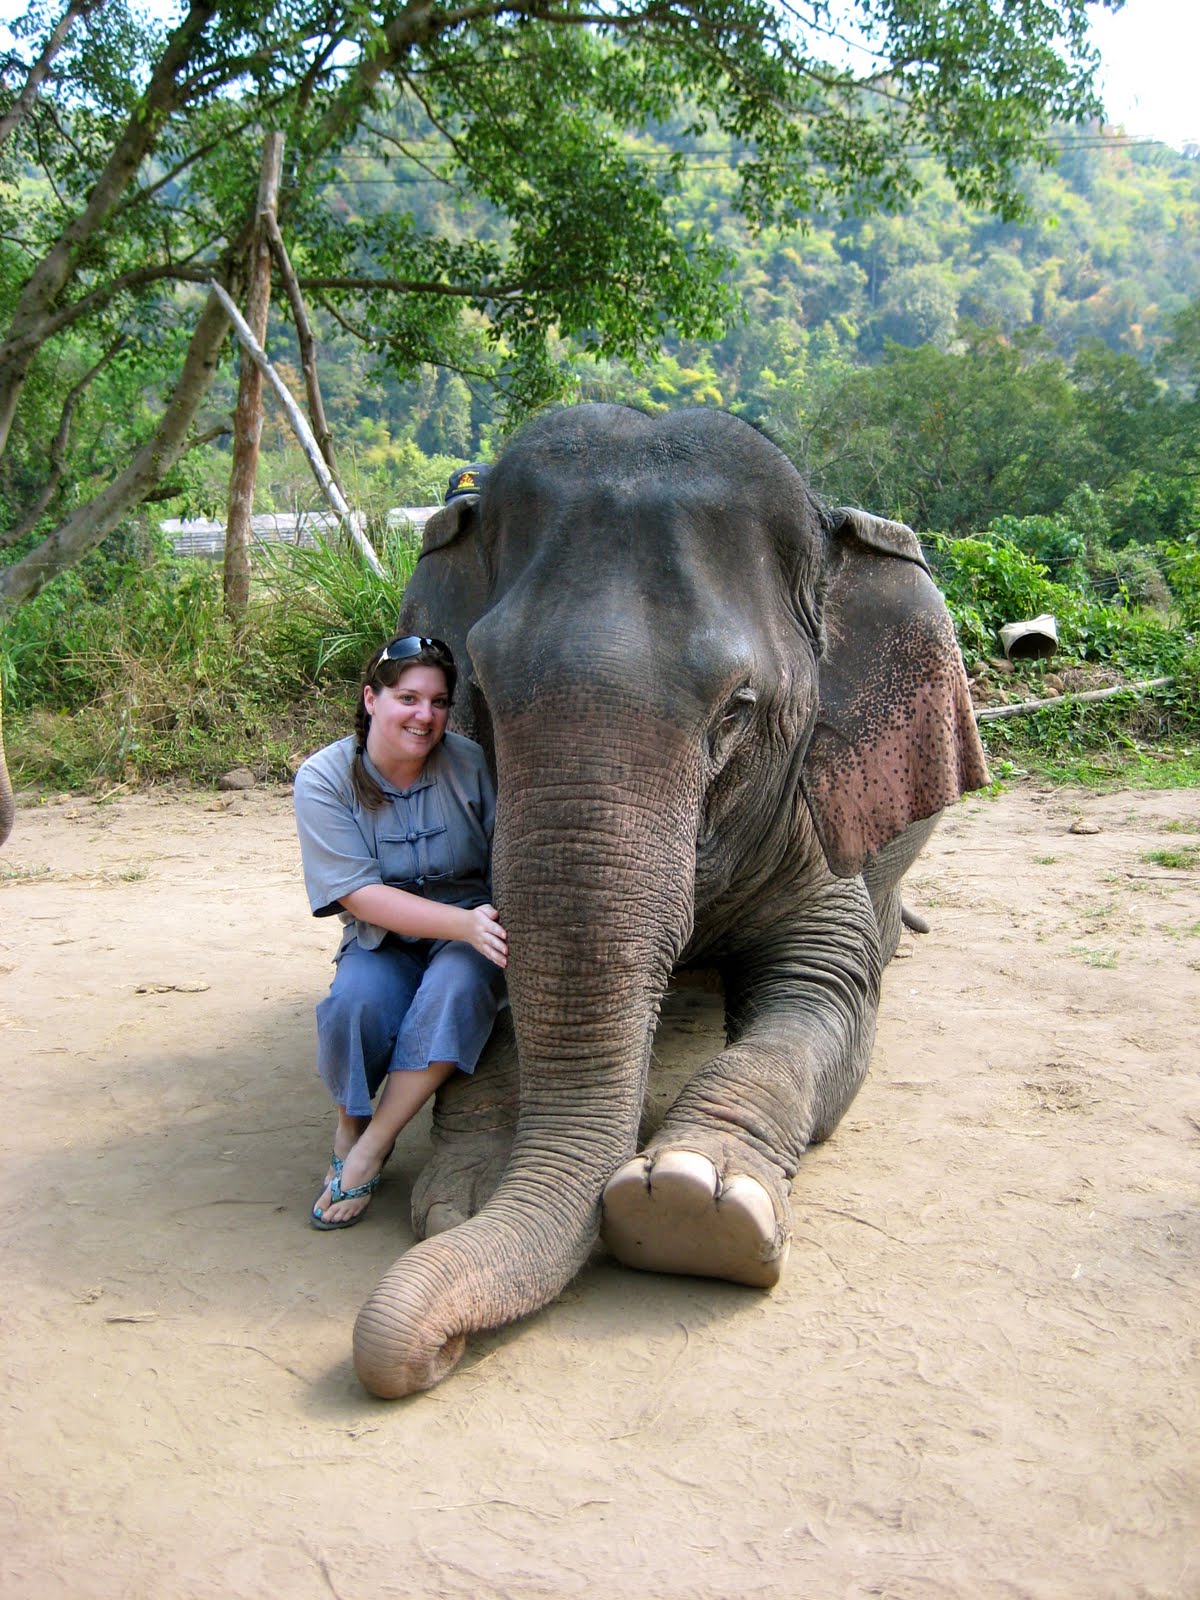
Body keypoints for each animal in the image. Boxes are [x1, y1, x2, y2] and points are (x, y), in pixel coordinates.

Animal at [351, 403, 988, 1398]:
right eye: (478, 688)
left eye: (736, 710)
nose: (436, 1351)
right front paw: (465, 1197)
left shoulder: (815, 822)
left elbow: (825, 995)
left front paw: (695, 1201)